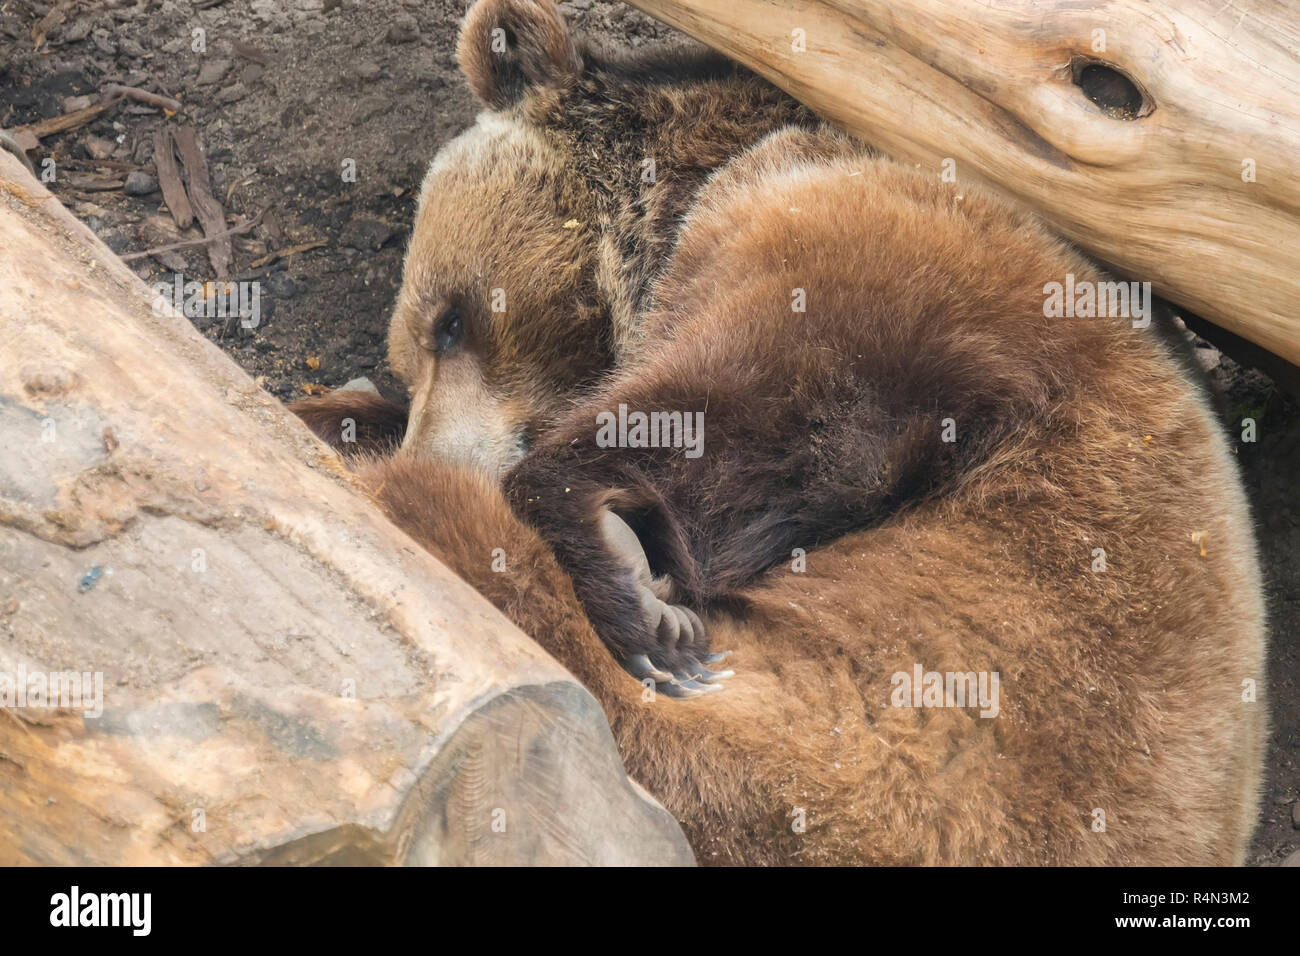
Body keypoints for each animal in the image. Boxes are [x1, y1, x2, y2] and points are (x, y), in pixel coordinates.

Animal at [292, 0, 1267, 865]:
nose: (435, 445)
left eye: (450, 322)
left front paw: (625, 570)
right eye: (420, 348)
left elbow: (781, 411)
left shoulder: (886, 248)